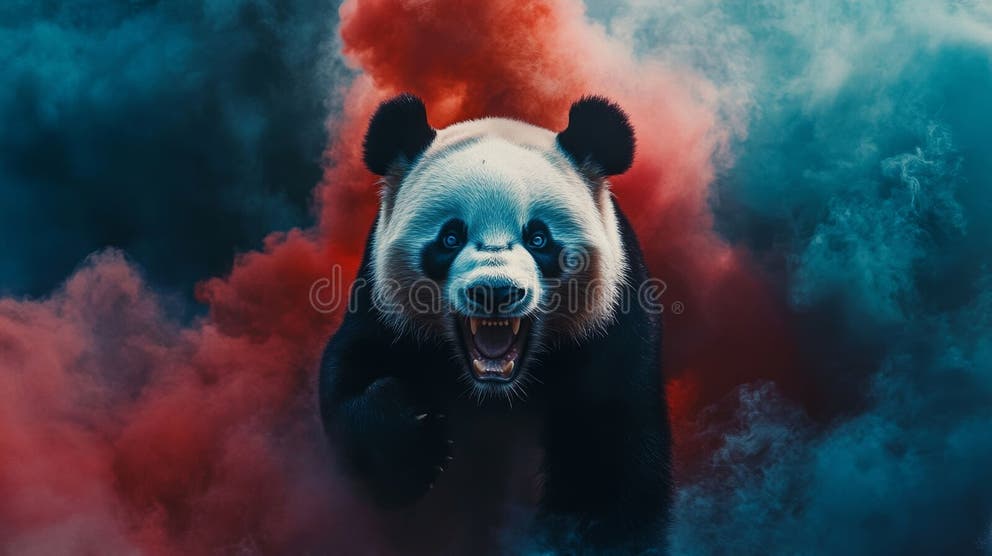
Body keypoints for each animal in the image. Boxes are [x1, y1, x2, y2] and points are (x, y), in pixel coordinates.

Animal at [319, 94, 671, 554]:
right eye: (450, 238)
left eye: (539, 238)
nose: (494, 292)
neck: (495, 392)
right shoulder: (382, 309)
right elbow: (348, 382)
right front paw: (415, 439)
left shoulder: (611, 328)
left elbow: (610, 462)